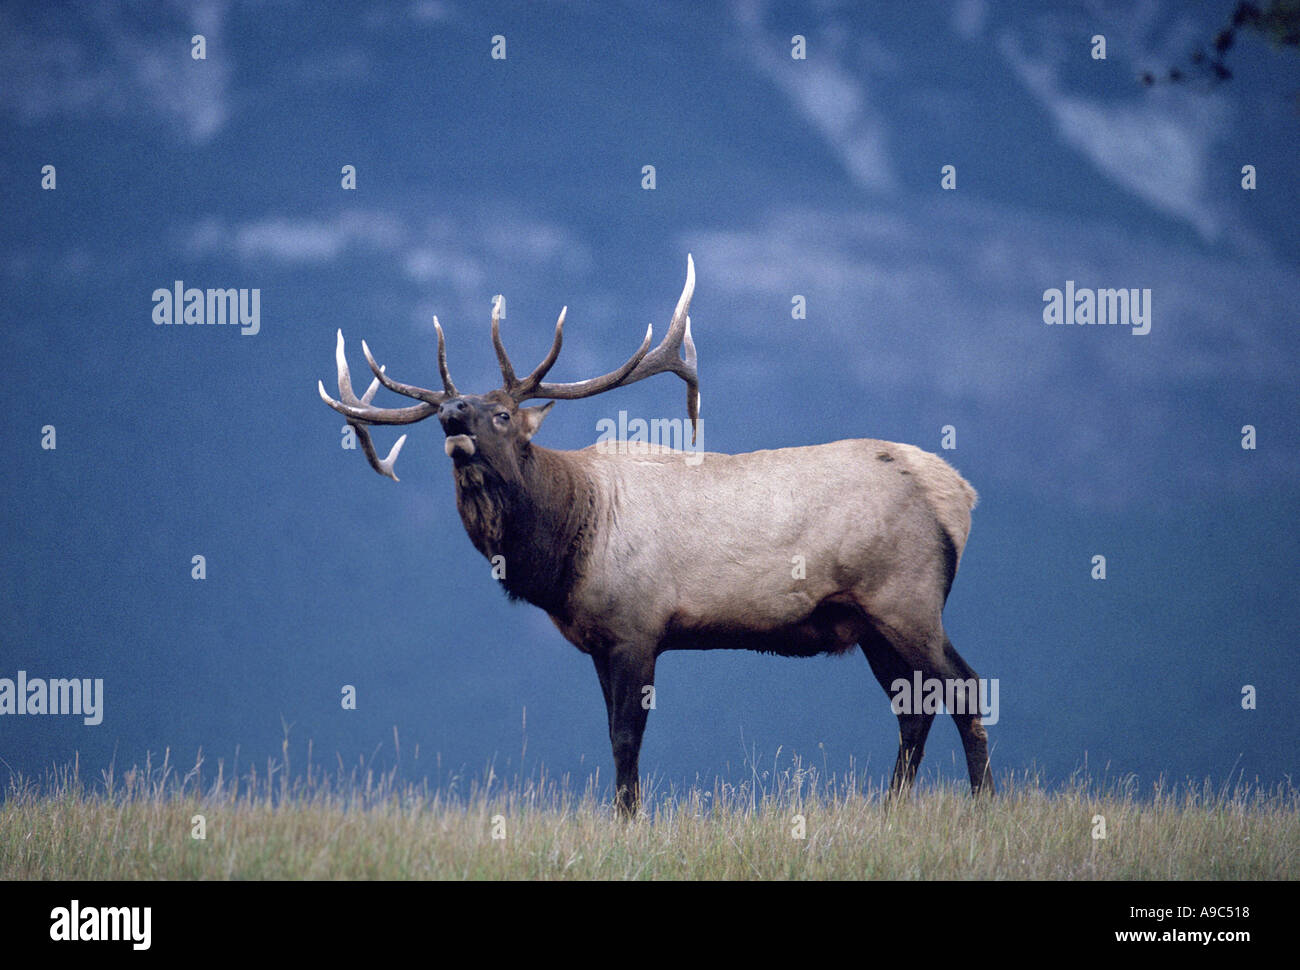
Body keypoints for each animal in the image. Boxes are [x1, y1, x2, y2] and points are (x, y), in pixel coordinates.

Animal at [319, 255, 993, 815]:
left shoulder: (638, 625)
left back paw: (983, 803)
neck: (569, 544)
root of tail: (958, 494)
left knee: (962, 685)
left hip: (905, 597)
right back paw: (893, 805)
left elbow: (626, 738)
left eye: (504, 414)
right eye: (452, 410)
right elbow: (612, 735)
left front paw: (628, 819)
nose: (452, 413)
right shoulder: (598, 641)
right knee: (913, 705)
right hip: (871, 620)